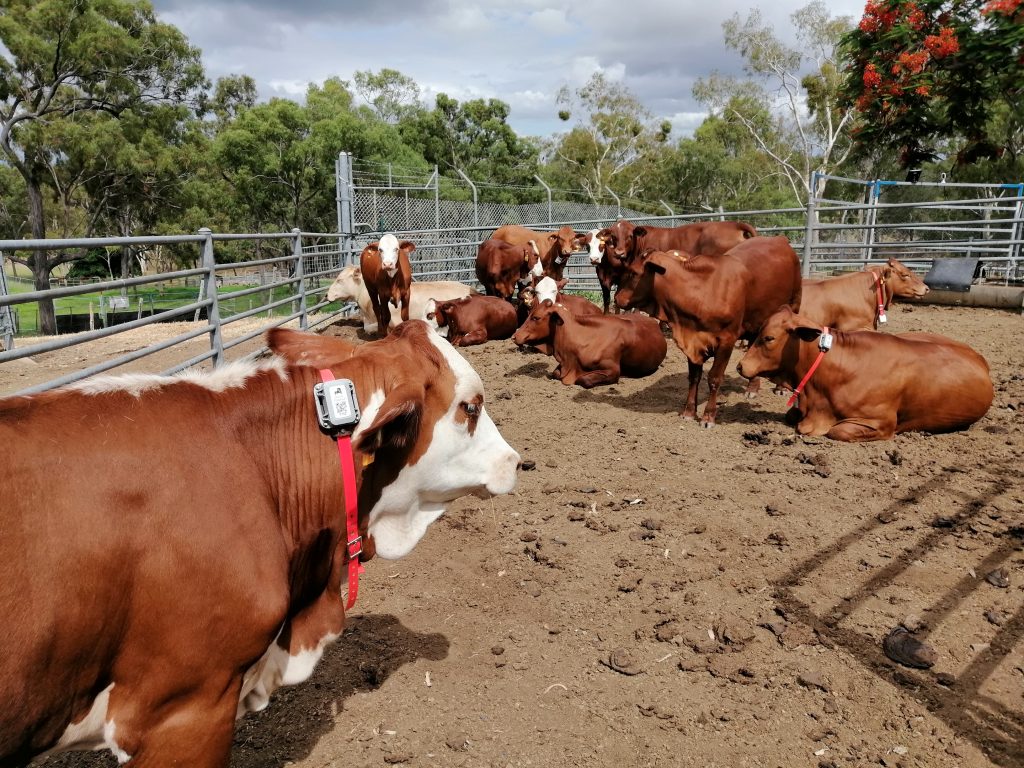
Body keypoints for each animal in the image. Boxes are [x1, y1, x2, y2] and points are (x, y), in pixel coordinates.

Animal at [615, 236, 802, 426]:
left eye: (633, 272)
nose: (617, 298)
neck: (702, 291)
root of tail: (779, 238)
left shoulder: (726, 341)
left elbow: (714, 378)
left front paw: (708, 416)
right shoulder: (693, 340)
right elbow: (694, 378)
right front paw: (689, 412)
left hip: (793, 306)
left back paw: (779, 387)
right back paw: (752, 387)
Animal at [736, 305, 993, 441]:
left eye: (769, 338)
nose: (739, 366)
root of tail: (978, 357)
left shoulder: (881, 423)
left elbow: (837, 431)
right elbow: (792, 415)